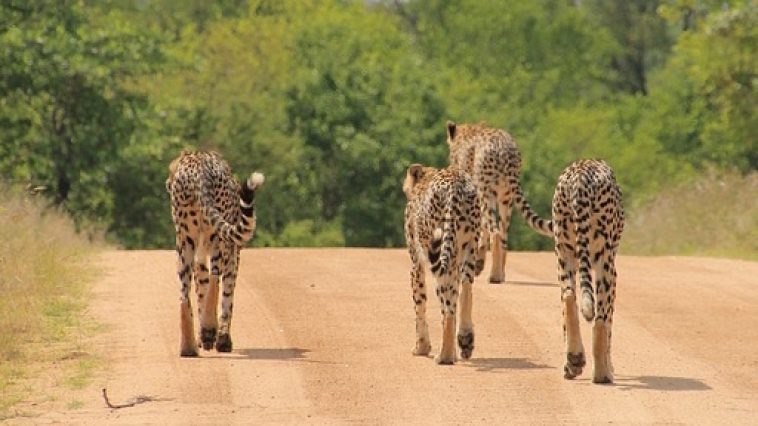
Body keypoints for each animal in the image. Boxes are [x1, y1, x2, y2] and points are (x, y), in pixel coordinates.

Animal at [165, 150, 264, 357]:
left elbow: (200, 291)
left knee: (184, 294)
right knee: (215, 279)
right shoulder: (233, 253)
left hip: (185, 243)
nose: (167, 183)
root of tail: (199, 165)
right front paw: (222, 339)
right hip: (219, 240)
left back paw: (188, 347)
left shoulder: (200, 256)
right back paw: (209, 330)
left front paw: (204, 338)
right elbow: (227, 295)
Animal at [403, 163, 483, 365]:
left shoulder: (416, 264)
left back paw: (445, 356)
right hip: (467, 247)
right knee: (465, 290)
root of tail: (456, 182)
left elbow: (419, 305)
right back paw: (465, 339)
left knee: (447, 306)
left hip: (441, 253)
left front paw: (422, 347)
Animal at [445, 121, 553, 284]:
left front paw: (478, 263)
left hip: (486, 193)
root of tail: (506, 150)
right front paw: (479, 262)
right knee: (503, 235)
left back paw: (495, 276)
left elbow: (482, 229)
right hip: (506, 198)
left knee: (495, 232)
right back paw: (500, 274)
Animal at [551, 159, 624, 384]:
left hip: (564, 252)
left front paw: (571, 365)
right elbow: (609, 323)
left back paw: (574, 360)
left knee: (568, 297)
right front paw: (609, 365)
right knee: (600, 318)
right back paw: (602, 373)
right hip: (604, 260)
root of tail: (580, 175)